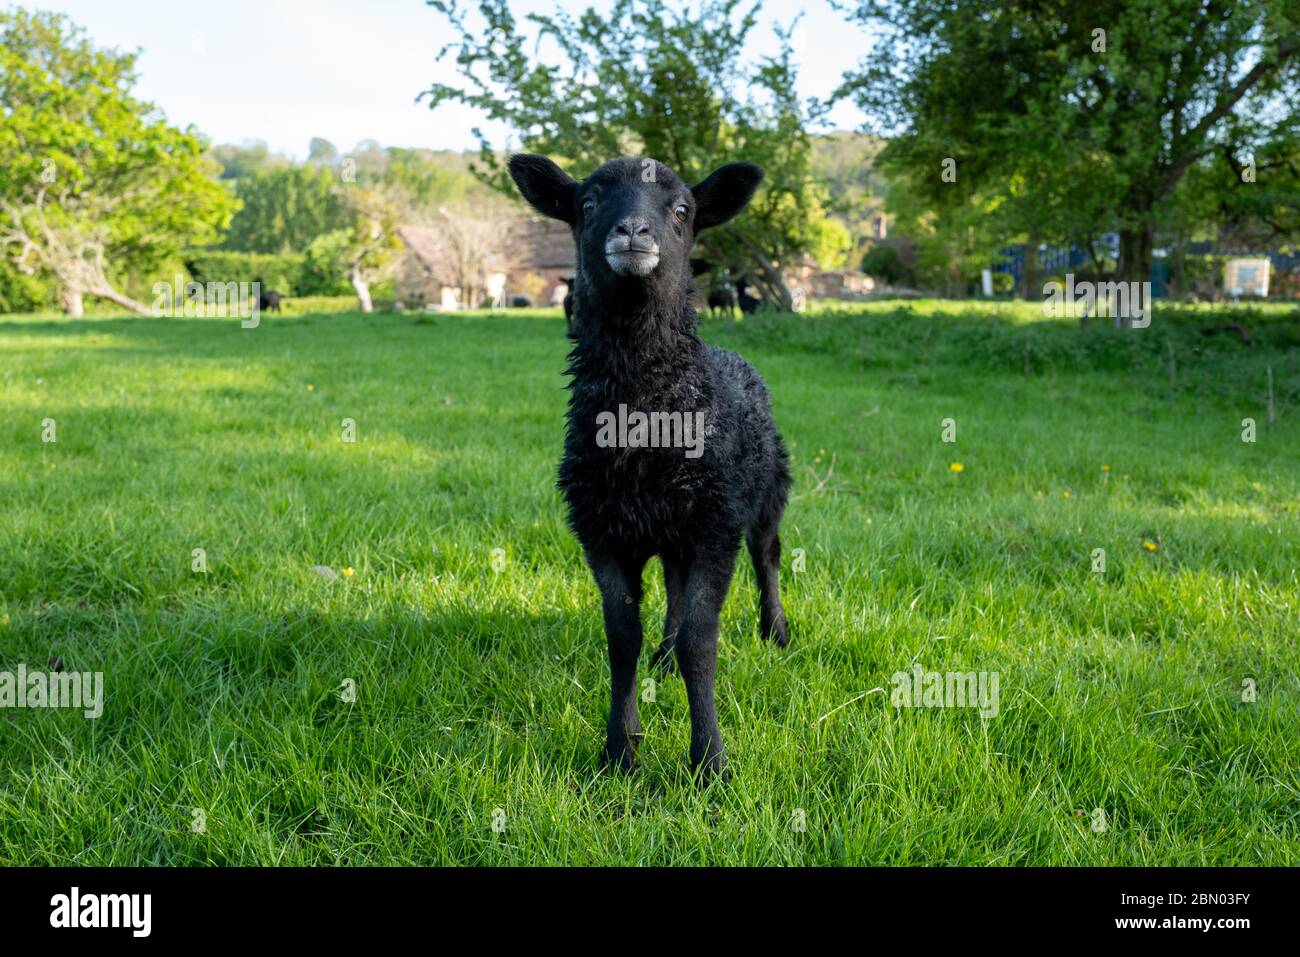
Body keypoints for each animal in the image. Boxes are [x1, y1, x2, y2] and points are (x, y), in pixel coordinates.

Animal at [508, 153, 792, 779]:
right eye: (587, 204)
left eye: (683, 210)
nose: (633, 231)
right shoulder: (602, 532)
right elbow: (622, 640)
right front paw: (619, 751)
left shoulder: (715, 529)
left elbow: (701, 644)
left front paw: (710, 762)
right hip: (670, 525)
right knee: (672, 584)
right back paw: (662, 655)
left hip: (766, 490)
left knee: (767, 556)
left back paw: (777, 632)